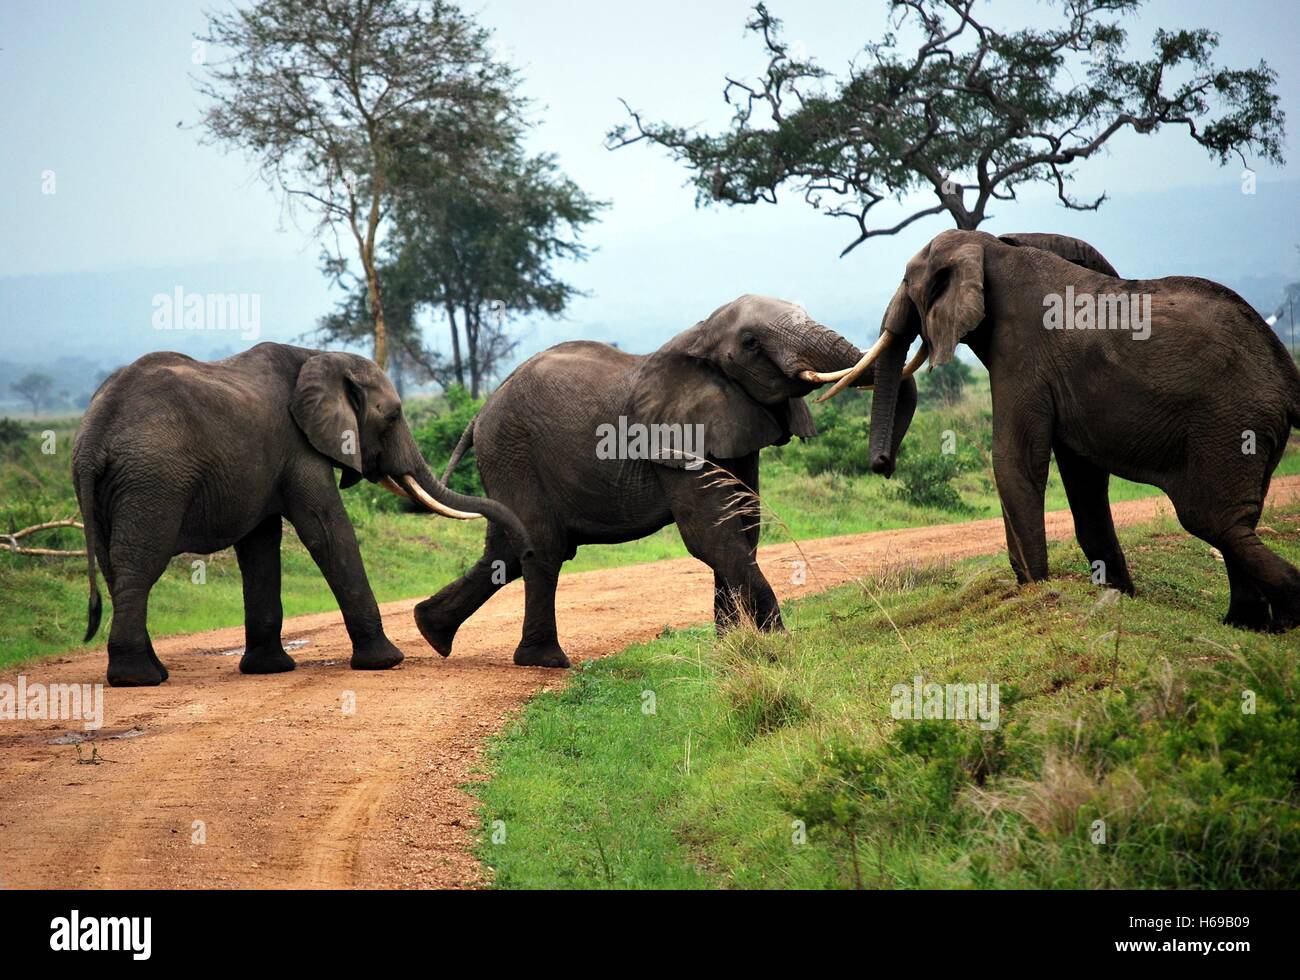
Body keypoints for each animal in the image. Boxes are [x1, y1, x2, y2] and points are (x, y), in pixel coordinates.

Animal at [73, 342, 533, 687]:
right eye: (393, 415)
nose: (527, 548)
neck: (318, 357)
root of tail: (94, 432)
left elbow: (261, 546)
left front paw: (269, 670)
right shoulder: (299, 446)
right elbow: (326, 530)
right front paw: (386, 661)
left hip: (116, 488)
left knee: (117, 567)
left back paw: (150, 672)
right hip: (154, 480)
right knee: (140, 564)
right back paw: (138, 677)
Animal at [412, 294, 916, 667]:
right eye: (751, 342)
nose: (883, 464)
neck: (700, 335)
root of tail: (479, 413)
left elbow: (744, 529)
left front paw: (732, 646)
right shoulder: (670, 440)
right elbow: (711, 536)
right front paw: (777, 644)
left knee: (509, 548)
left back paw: (431, 632)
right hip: (513, 451)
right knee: (542, 547)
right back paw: (545, 661)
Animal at [824, 229, 1300, 630]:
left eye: (907, 281)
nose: (883, 465)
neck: (990, 247)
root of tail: (1287, 374)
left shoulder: (1021, 351)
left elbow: (1014, 459)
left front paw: (1033, 589)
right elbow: (1083, 476)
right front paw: (1116, 594)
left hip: (1229, 422)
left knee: (1211, 519)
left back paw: (1285, 612)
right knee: (1235, 522)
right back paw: (1246, 624)